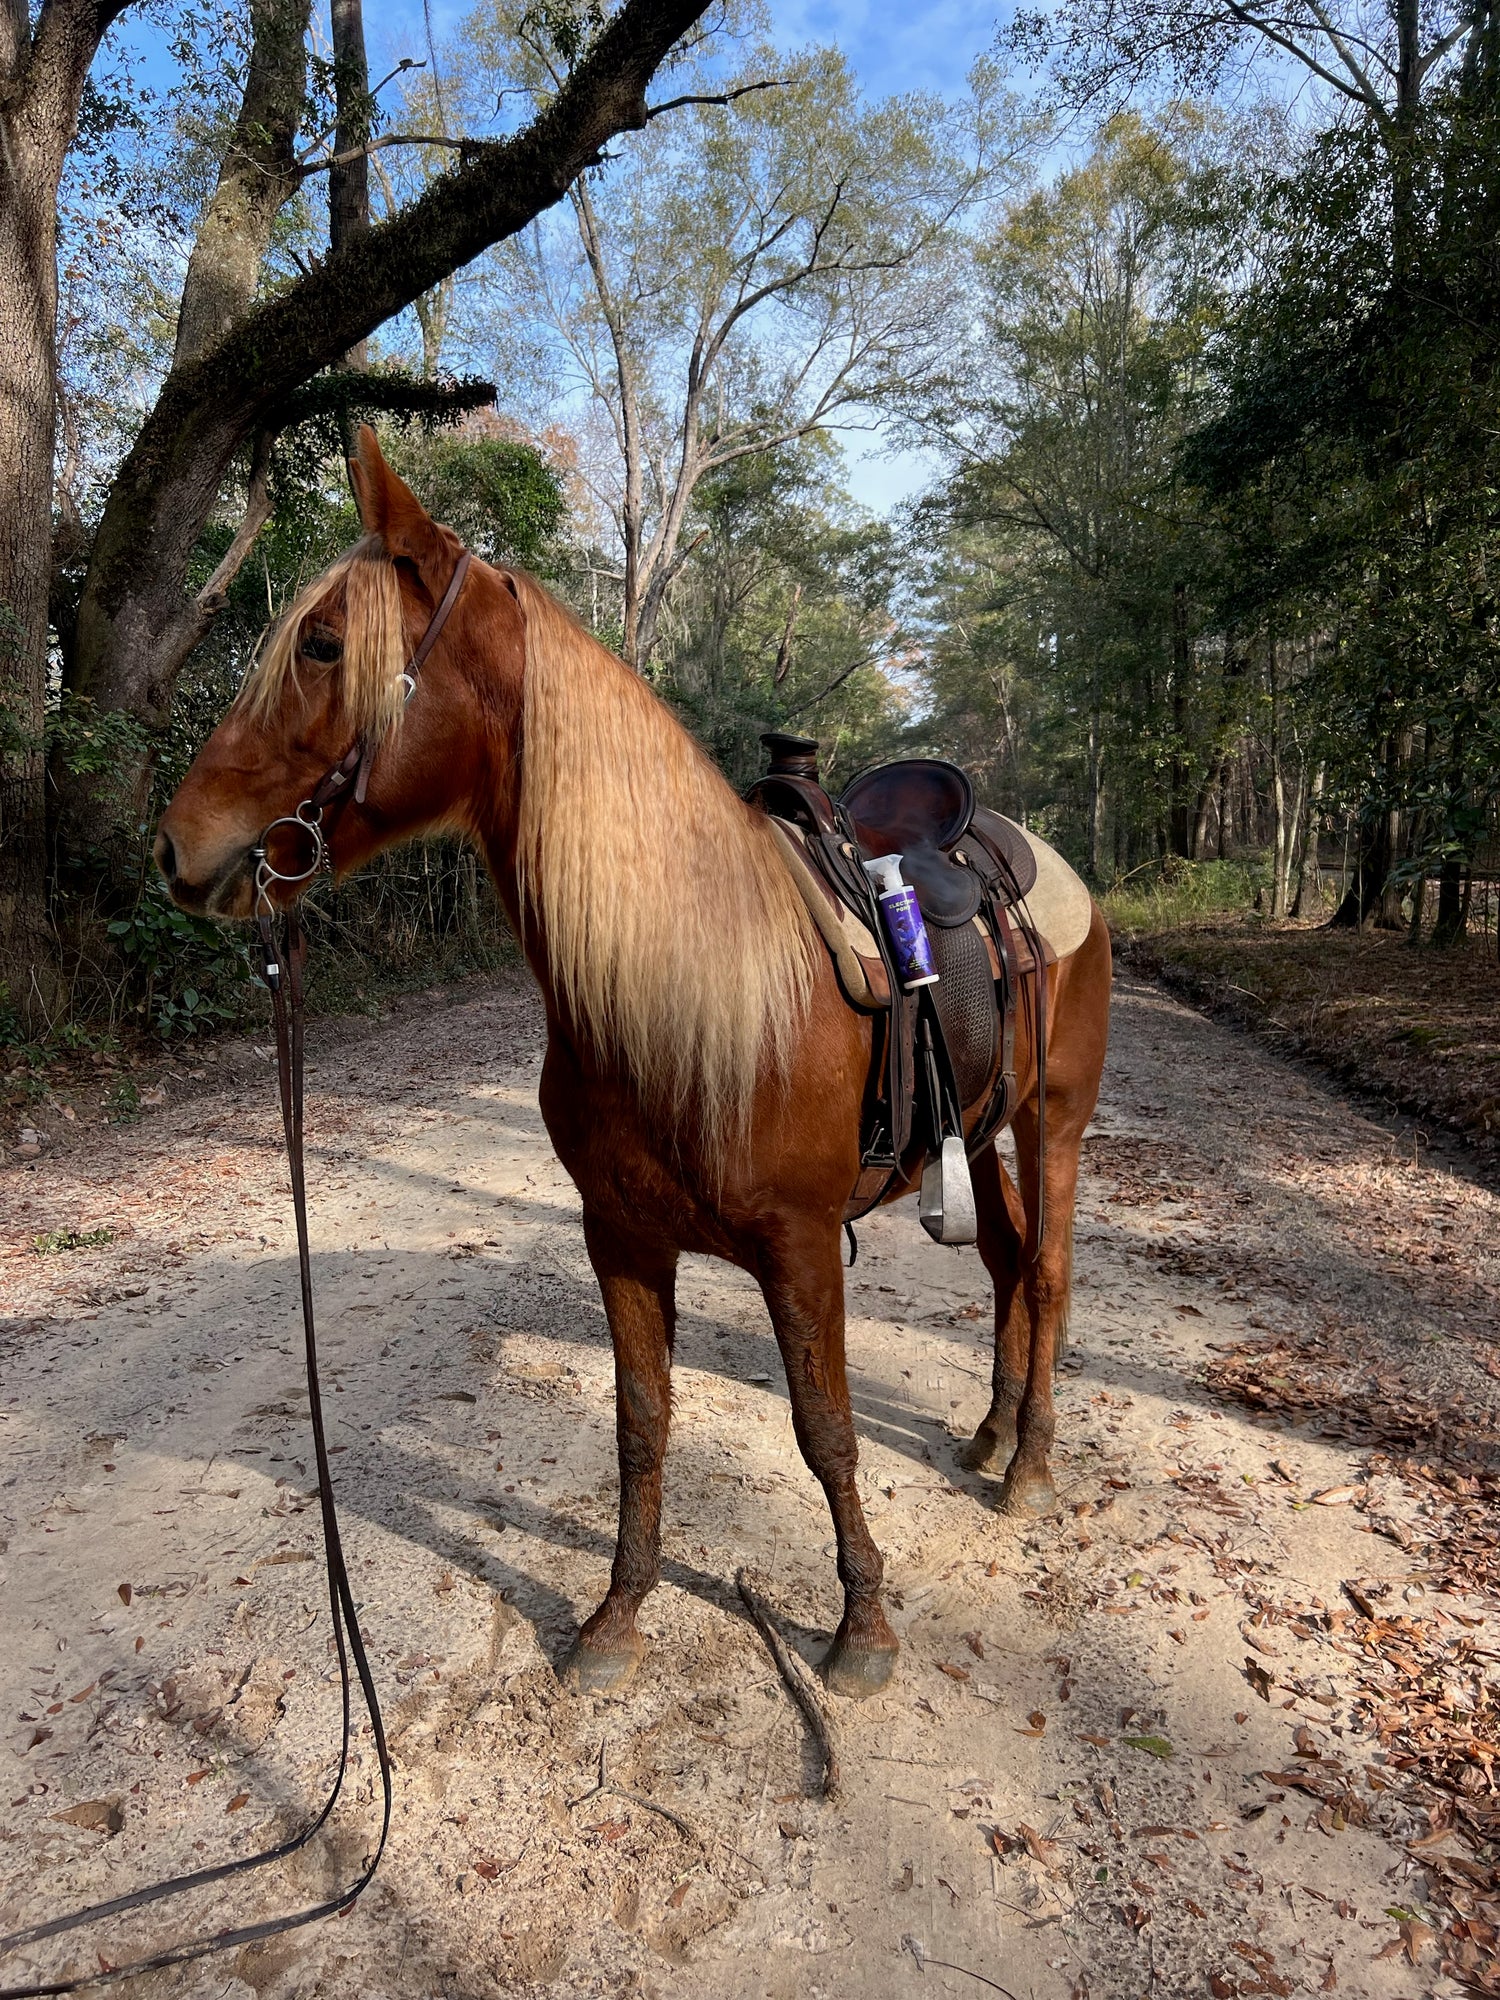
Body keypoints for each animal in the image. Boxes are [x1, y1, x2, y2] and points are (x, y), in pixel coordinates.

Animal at [156, 427, 1112, 1701]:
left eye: (321, 644)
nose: (177, 844)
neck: (688, 985)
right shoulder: (620, 1234)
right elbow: (641, 1422)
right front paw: (617, 1613)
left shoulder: (800, 1245)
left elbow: (825, 1427)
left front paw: (861, 1625)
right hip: (987, 1126)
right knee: (1007, 1264)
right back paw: (993, 1432)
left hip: (1054, 1122)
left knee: (1045, 1273)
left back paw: (1031, 1466)